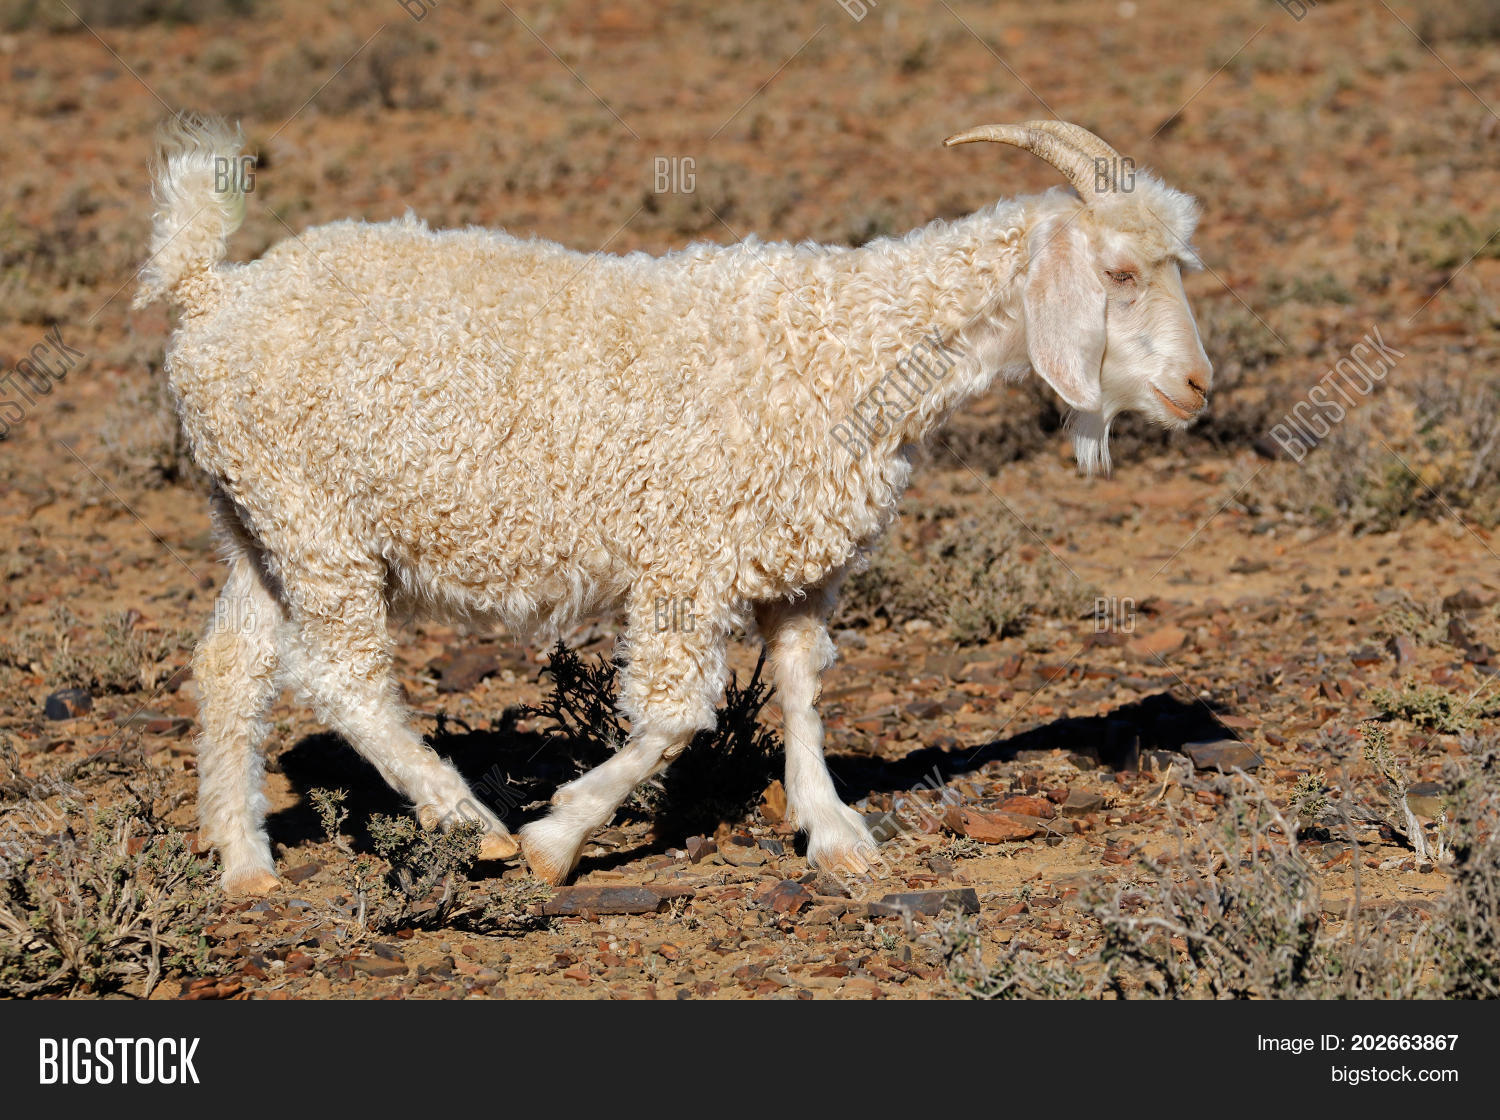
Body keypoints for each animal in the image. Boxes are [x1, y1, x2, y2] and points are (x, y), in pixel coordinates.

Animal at [135, 116, 1212, 893]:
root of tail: (211, 292)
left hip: (256, 521)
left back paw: (246, 866)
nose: (1197, 387)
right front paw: (556, 839)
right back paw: (468, 823)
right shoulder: (683, 562)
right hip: (318, 522)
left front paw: (833, 830)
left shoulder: (801, 560)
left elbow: (800, 686)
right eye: (1119, 273)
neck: (853, 344)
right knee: (339, 677)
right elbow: (676, 715)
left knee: (231, 665)